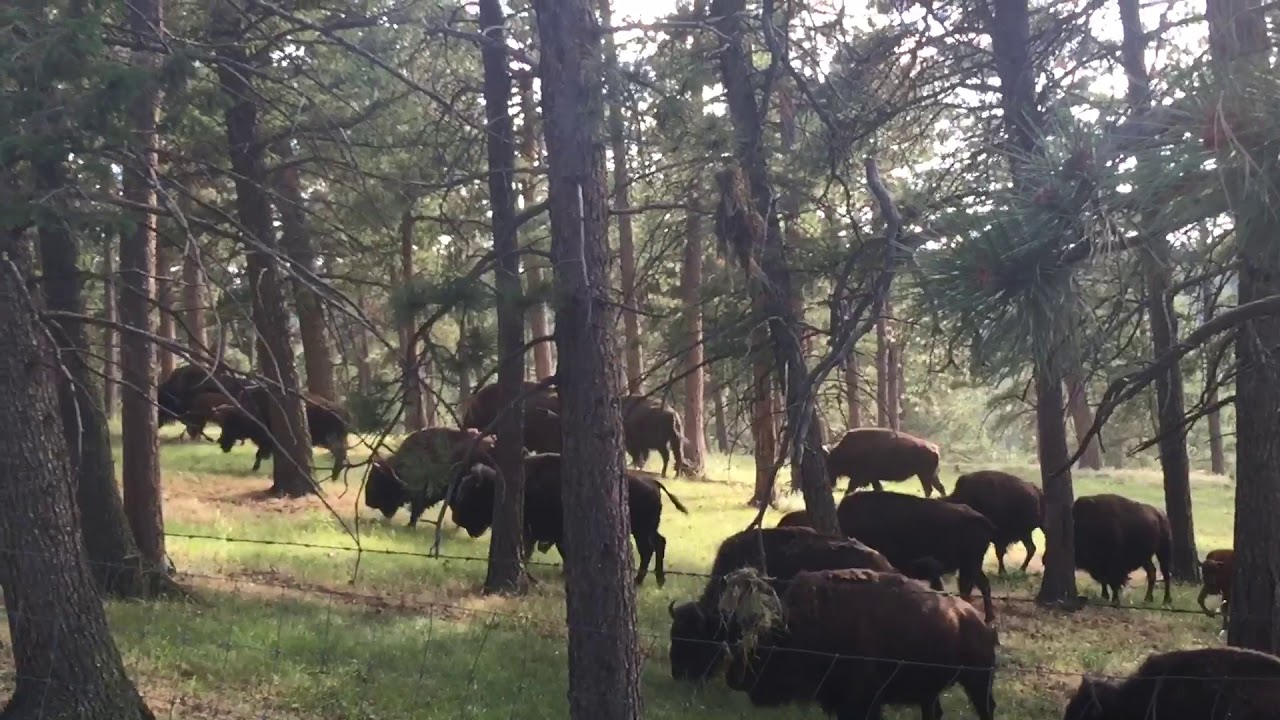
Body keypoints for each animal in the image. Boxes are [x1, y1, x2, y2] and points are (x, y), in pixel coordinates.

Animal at [213, 387, 350, 479]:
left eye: (230, 423)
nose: (221, 443)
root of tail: (342, 411)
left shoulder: (267, 441)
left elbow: (259, 454)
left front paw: (255, 468)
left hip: (330, 438)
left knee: (340, 453)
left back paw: (335, 476)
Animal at [450, 453, 688, 585]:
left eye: (471, 493)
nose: (456, 517)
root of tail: (653, 482)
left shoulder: (542, 532)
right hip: (646, 530)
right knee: (658, 544)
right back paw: (656, 580)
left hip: (642, 530)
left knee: (649, 549)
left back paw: (642, 581)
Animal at [723, 568, 997, 720]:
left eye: (765, 648)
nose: (734, 678)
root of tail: (977, 619)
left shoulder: (862, 701)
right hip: (930, 690)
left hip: (977, 681)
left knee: (986, 708)